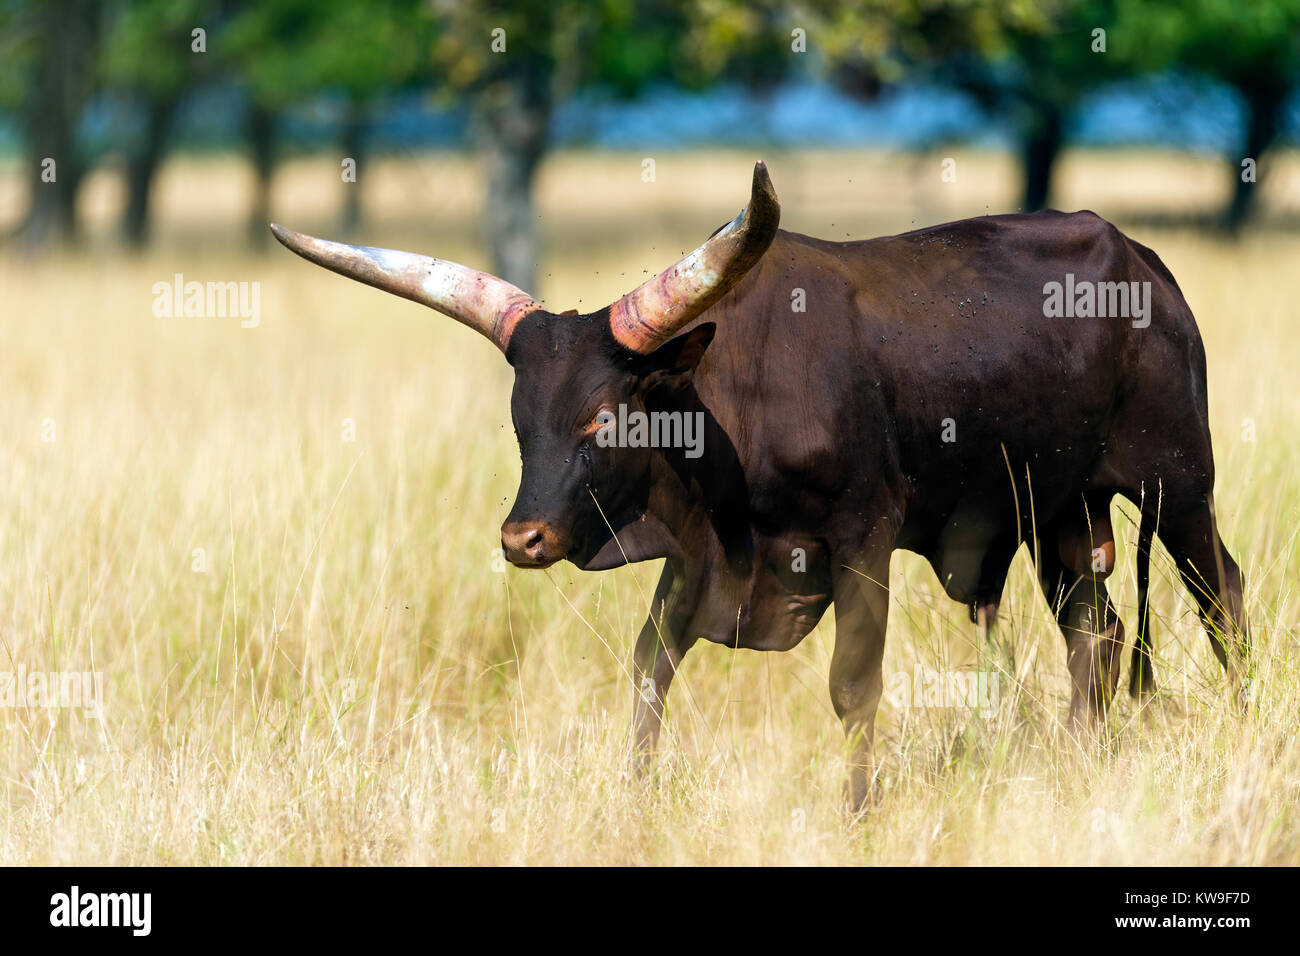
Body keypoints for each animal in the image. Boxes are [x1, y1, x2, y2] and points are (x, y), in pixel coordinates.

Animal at [272, 161, 1248, 810]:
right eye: (522, 424)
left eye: (604, 419)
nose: (524, 540)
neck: (727, 399)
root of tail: (1144, 261)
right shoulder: (699, 557)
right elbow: (649, 669)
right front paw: (634, 797)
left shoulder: (861, 537)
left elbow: (854, 685)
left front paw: (857, 810)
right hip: (1058, 512)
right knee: (1099, 630)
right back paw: (1086, 756)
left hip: (1178, 484)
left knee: (1220, 594)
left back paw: (1245, 711)